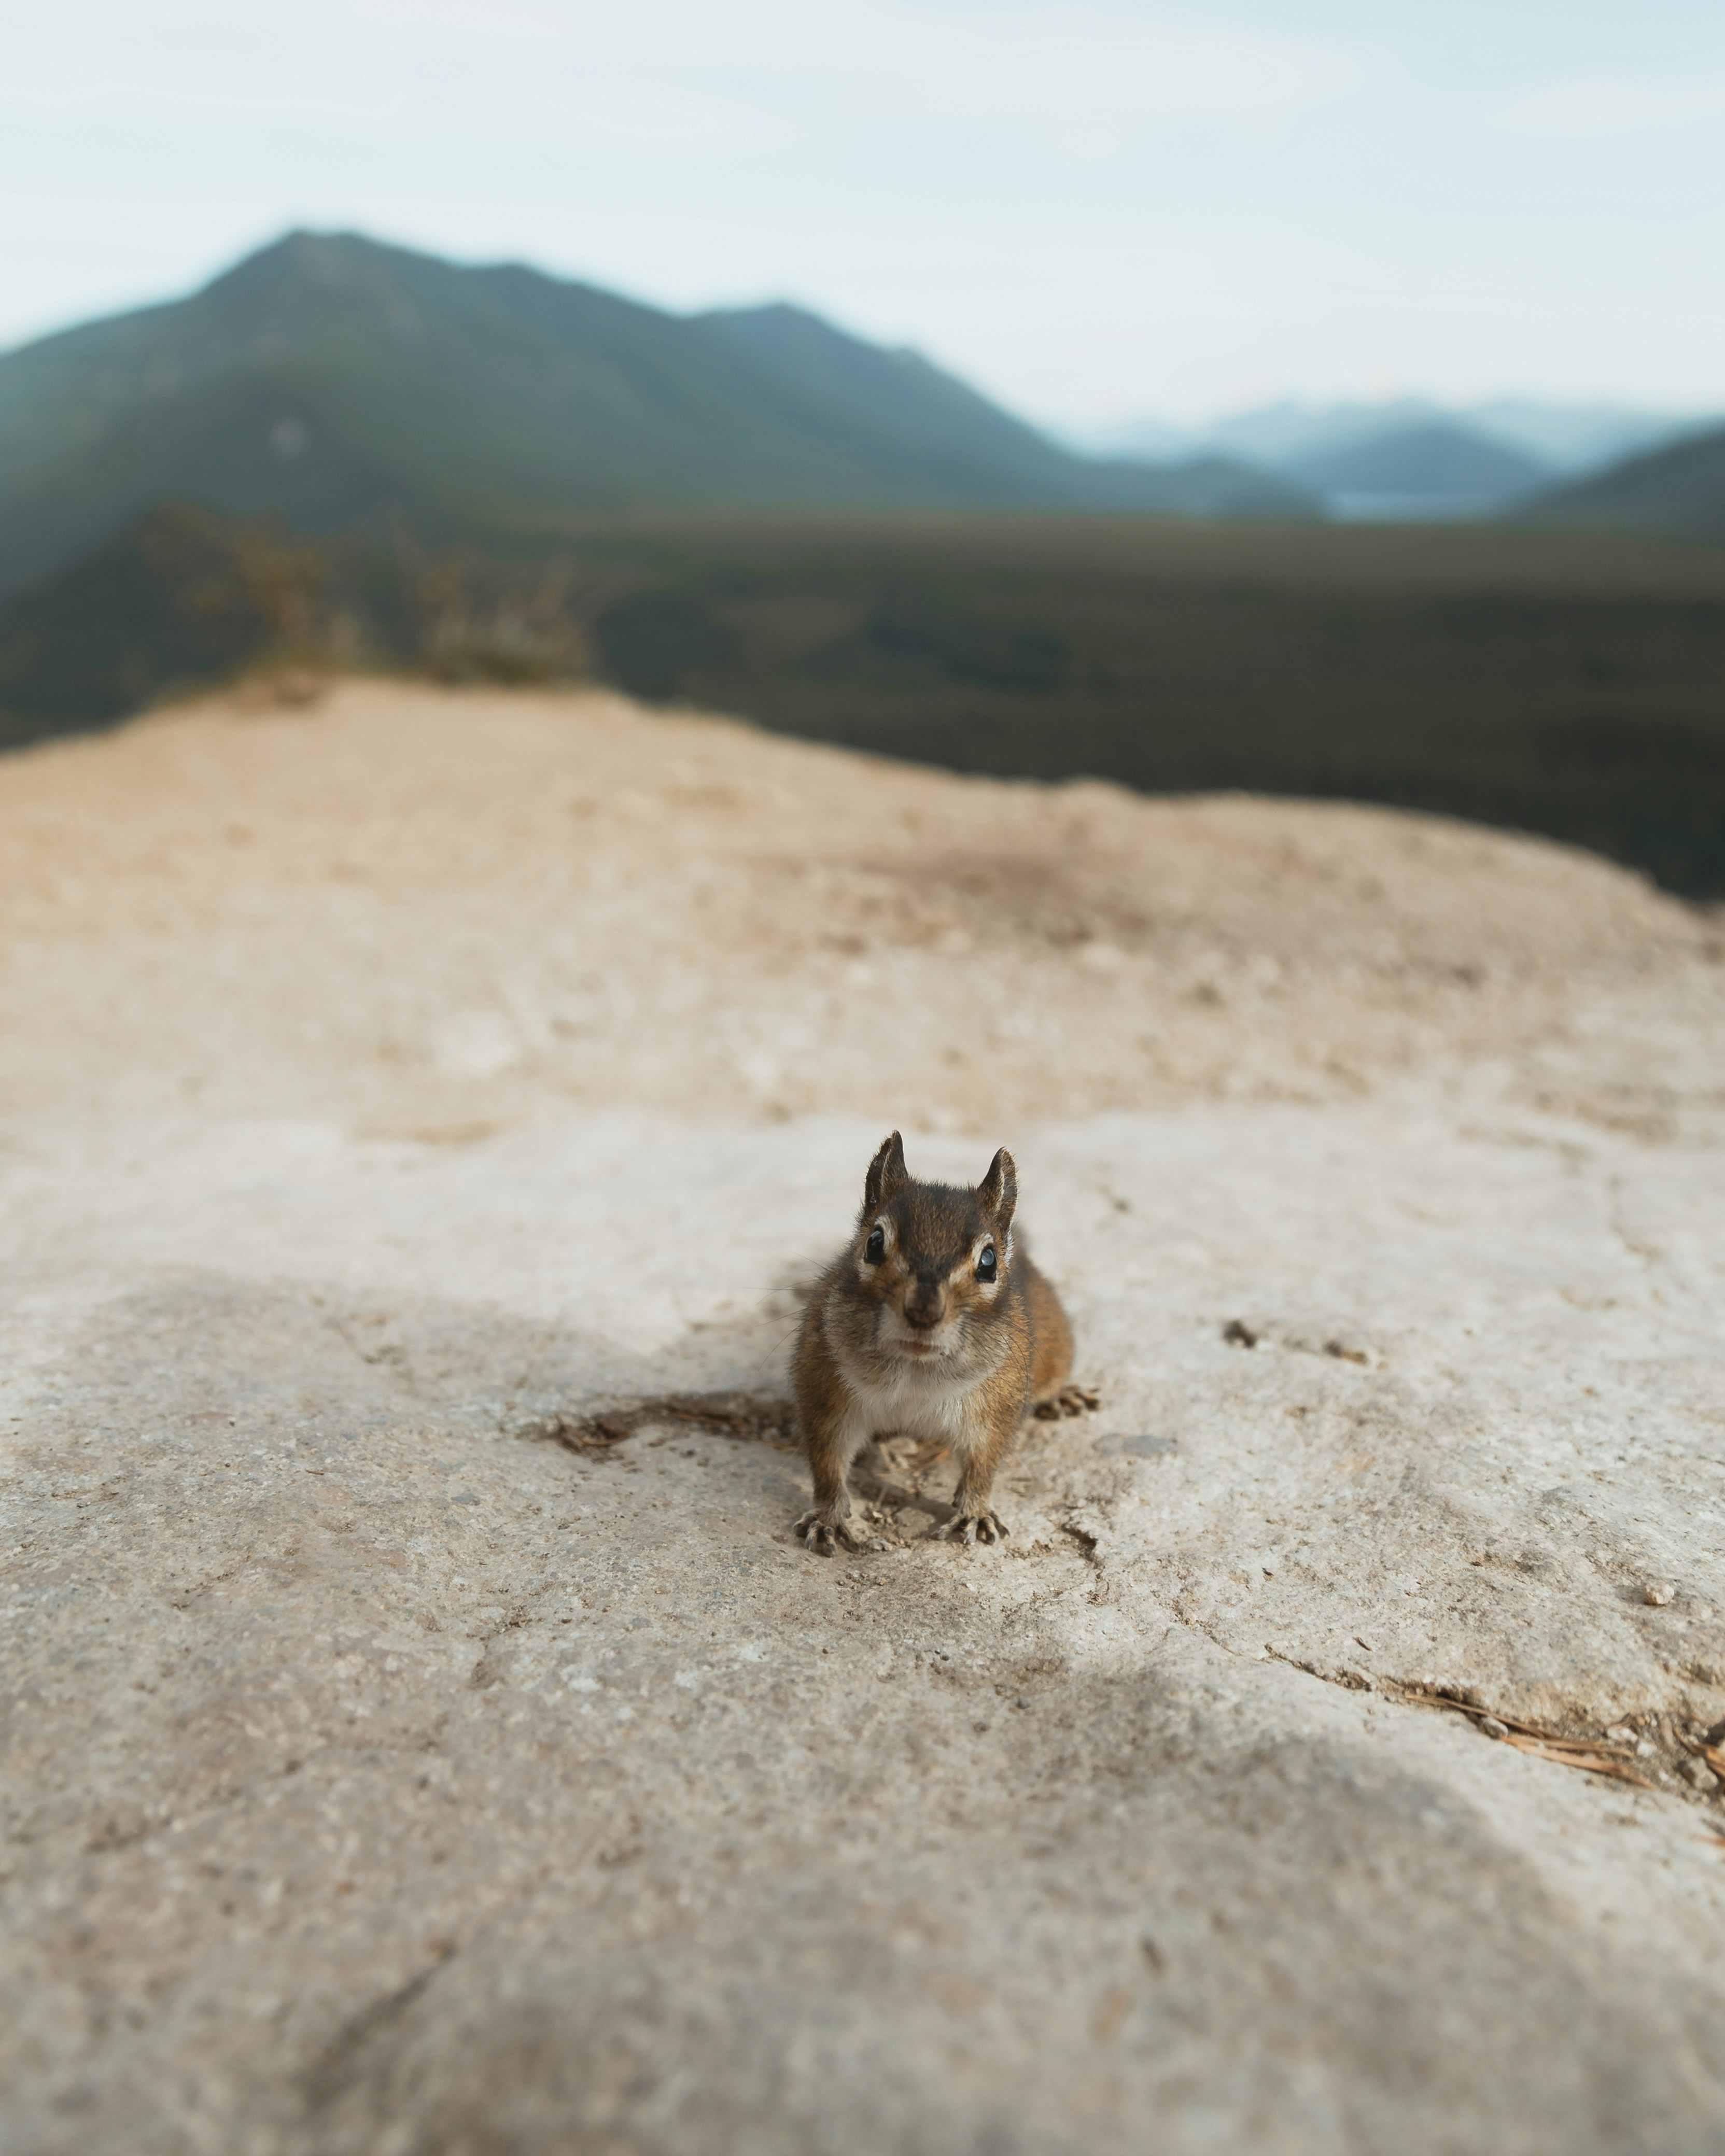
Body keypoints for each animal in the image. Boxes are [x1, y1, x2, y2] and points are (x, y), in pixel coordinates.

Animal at [792, 1130, 1074, 1555]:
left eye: (989, 1262)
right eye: (874, 1242)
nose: (924, 1313)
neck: (916, 1369)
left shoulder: (994, 1410)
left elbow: (982, 1466)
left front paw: (975, 1513)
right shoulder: (826, 1395)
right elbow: (828, 1464)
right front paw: (827, 1519)